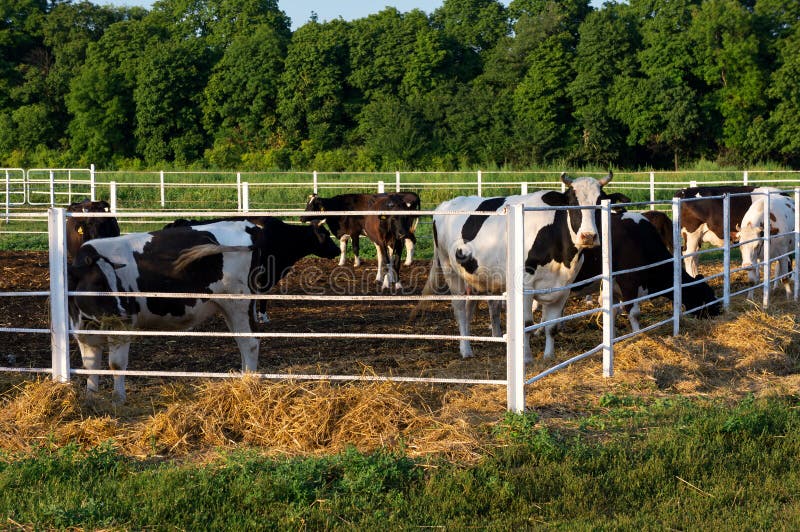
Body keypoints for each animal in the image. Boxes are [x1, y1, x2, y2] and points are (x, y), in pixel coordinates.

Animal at [67, 217, 340, 403]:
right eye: (98, 283)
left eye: (112, 280)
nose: (124, 310)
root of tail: (249, 227)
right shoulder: (82, 331)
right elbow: (90, 365)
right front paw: (91, 399)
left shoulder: (120, 331)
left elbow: (115, 364)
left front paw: (118, 400)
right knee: (243, 342)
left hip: (238, 303)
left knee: (250, 343)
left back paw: (248, 384)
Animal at [422, 171, 613, 362]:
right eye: (573, 202)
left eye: (599, 202)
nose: (588, 236)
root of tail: (446, 204)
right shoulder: (525, 285)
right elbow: (526, 323)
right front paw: (526, 357)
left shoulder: (563, 287)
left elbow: (551, 326)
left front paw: (549, 356)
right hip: (449, 268)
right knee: (460, 308)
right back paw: (465, 349)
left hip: (475, 274)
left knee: (474, 306)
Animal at [573, 212, 721, 331]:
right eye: (706, 295)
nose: (718, 309)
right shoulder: (629, 283)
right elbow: (633, 313)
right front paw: (637, 335)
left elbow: (612, 312)